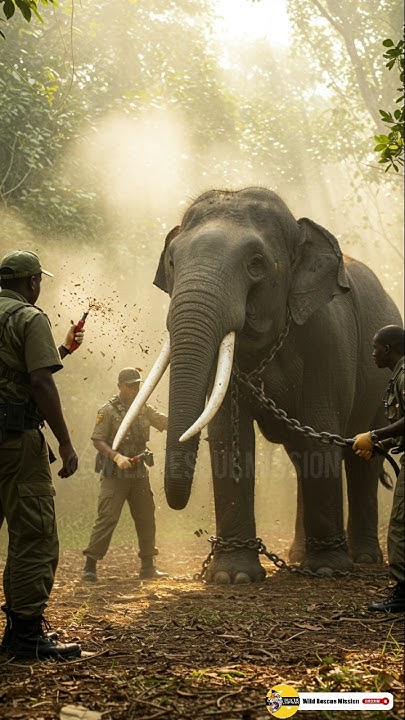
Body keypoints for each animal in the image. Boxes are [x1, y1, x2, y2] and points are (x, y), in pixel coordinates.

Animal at [115, 187, 402, 582]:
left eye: (256, 263)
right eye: (172, 262)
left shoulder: (329, 338)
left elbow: (319, 432)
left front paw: (327, 569)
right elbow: (228, 437)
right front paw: (231, 577)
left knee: (361, 455)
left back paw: (361, 558)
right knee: (299, 455)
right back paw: (298, 555)